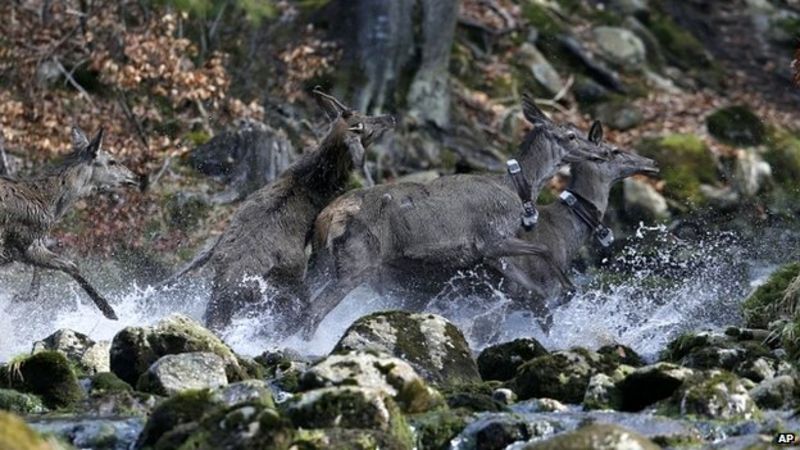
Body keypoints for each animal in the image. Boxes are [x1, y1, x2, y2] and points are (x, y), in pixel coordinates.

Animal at [0, 127, 141, 320]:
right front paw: (108, 310)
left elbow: (40, 277)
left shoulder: (20, 249)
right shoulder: (26, 242)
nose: (135, 177)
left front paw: (22, 297)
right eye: (112, 161)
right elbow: (71, 266)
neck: (51, 205)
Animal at [160, 88, 395, 332]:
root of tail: (229, 281)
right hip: (287, 282)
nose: (390, 118)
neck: (314, 185)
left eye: (363, 114)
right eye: (366, 126)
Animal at [301, 98, 611, 337]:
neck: (515, 190)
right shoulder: (490, 237)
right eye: (571, 135)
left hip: (322, 262)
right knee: (314, 311)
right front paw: (565, 292)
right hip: (357, 261)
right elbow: (543, 249)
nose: (603, 152)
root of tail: (327, 218)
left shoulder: (489, 254)